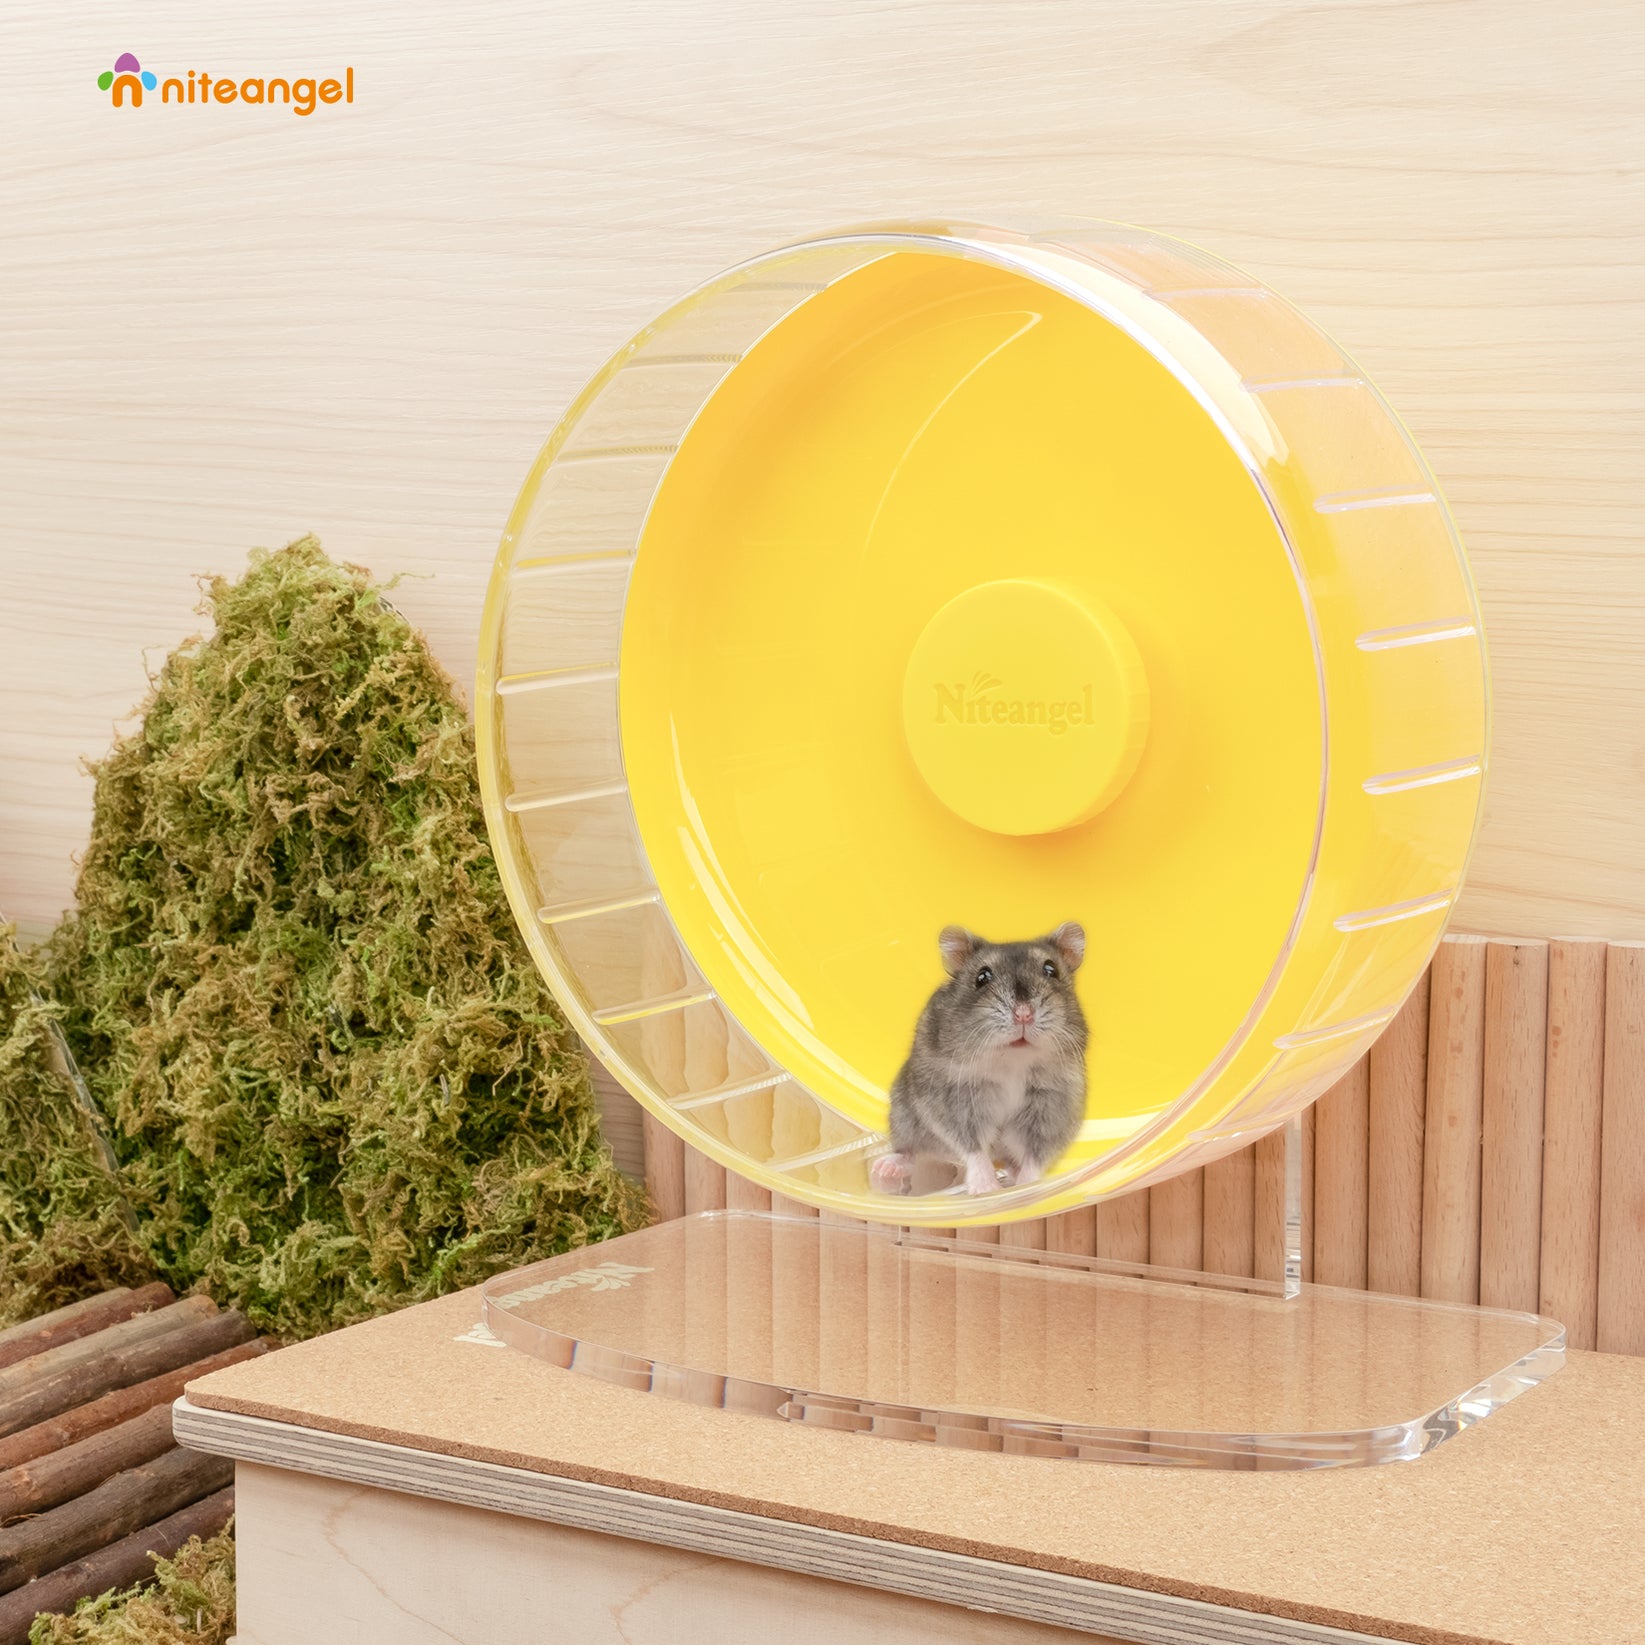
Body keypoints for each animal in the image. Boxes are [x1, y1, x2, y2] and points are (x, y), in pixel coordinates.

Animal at [871, 923, 1088, 1198]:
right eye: (982, 977)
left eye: (1051, 970)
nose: (1023, 1014)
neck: (1013, 1061)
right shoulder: (955, 1099)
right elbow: (974, 1147)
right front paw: (985, 1190)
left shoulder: (1052, 1105)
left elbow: (1034, 1155)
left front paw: (1027, 1187)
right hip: (904, 1117)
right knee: (911, 1151)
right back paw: (885, 1168)